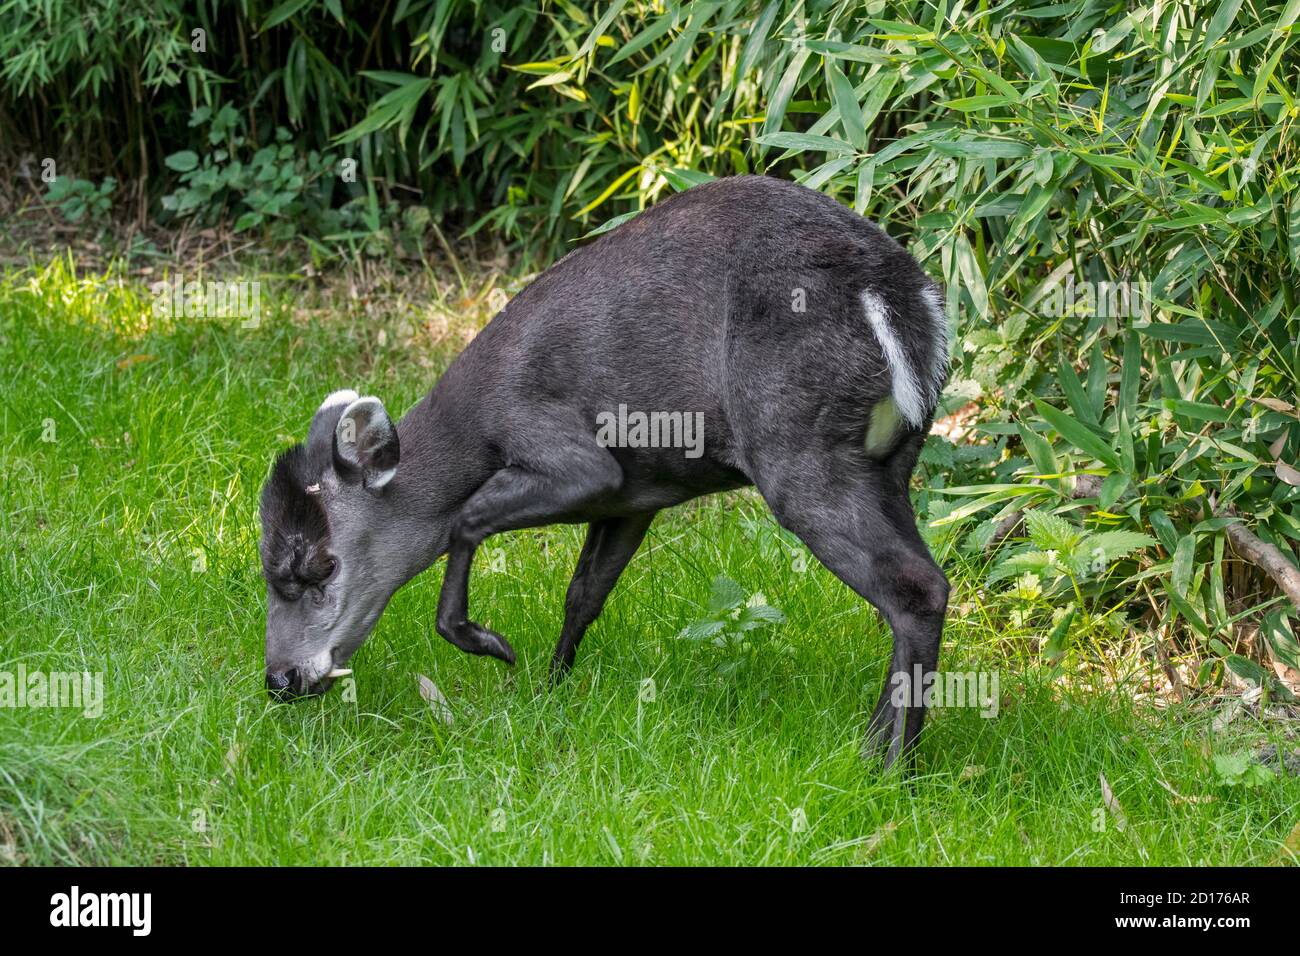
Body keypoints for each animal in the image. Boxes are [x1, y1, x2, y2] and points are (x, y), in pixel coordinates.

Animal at [261, 175, 956, 764]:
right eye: (270, 568)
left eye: (321, 566)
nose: (280, 678)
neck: (475, 429)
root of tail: (907, 304)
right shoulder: (636, 496)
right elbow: (584, 592)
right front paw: (548, 692)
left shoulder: (578, 458)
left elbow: (467, 518)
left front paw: (489, 644)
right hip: (893, 459)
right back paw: (879, 747)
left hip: (799, 445)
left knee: (918, 586)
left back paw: (892, 765)